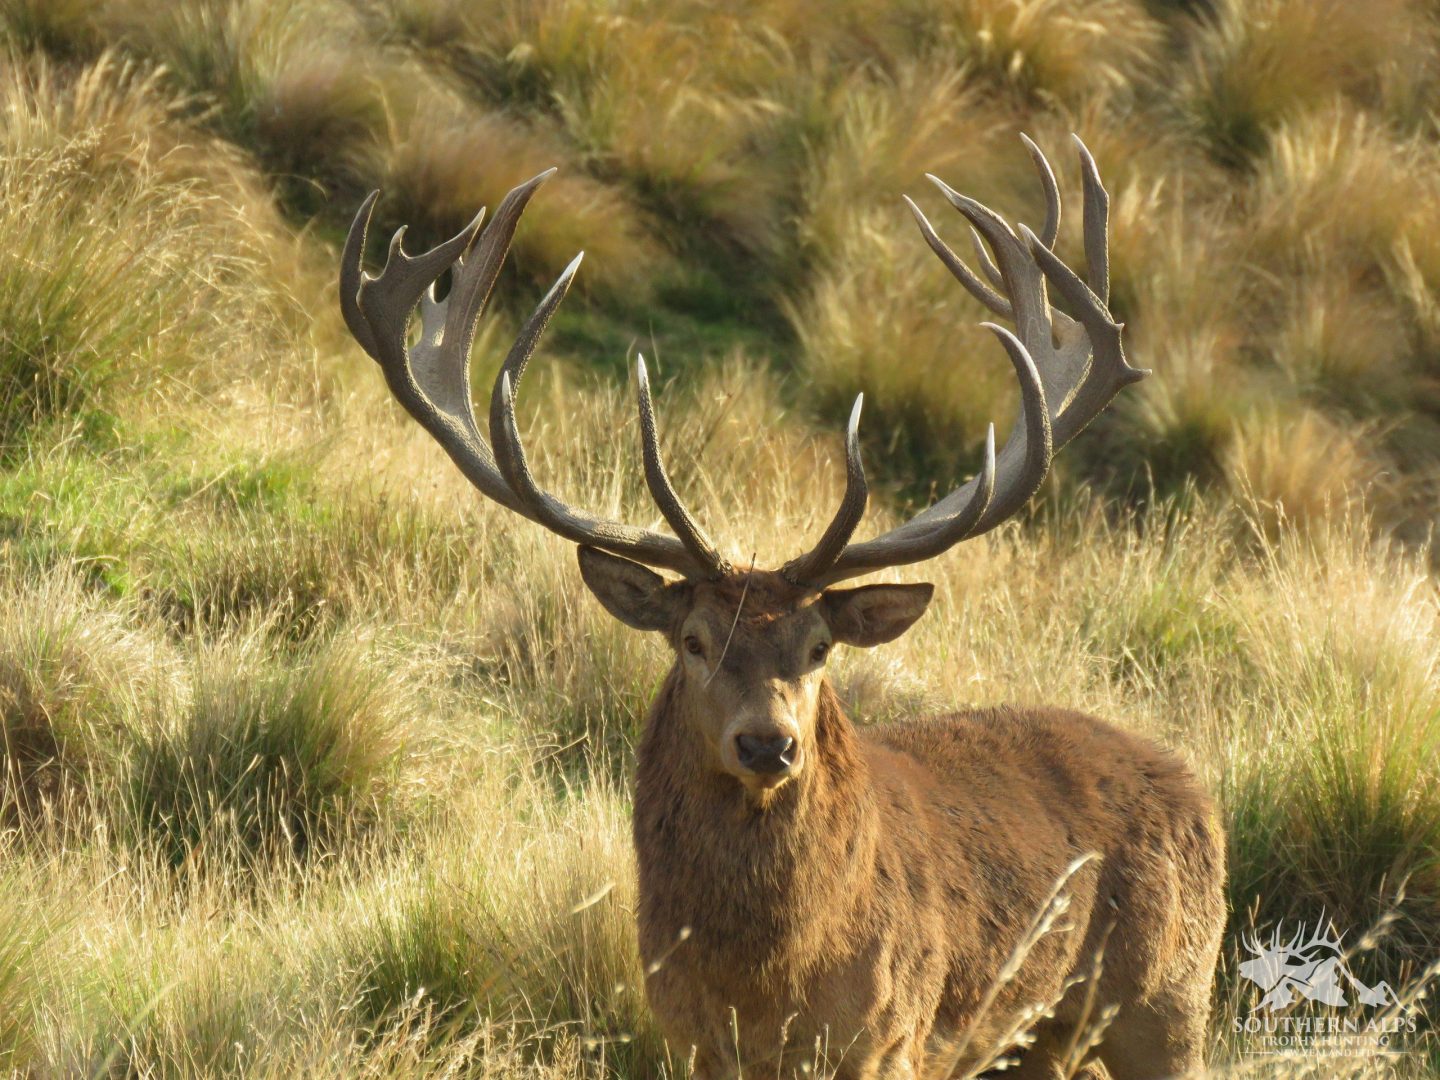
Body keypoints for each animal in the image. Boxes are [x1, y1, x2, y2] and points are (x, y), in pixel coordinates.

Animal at [339, 135, 1227, 1080]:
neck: (766, 997)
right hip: (1043, 1040)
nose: (768, 743)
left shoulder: (892, 1035)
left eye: (819, 646)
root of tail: (1196, 788)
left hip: (1170, 997)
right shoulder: (687, 1039)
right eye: (692, 641)